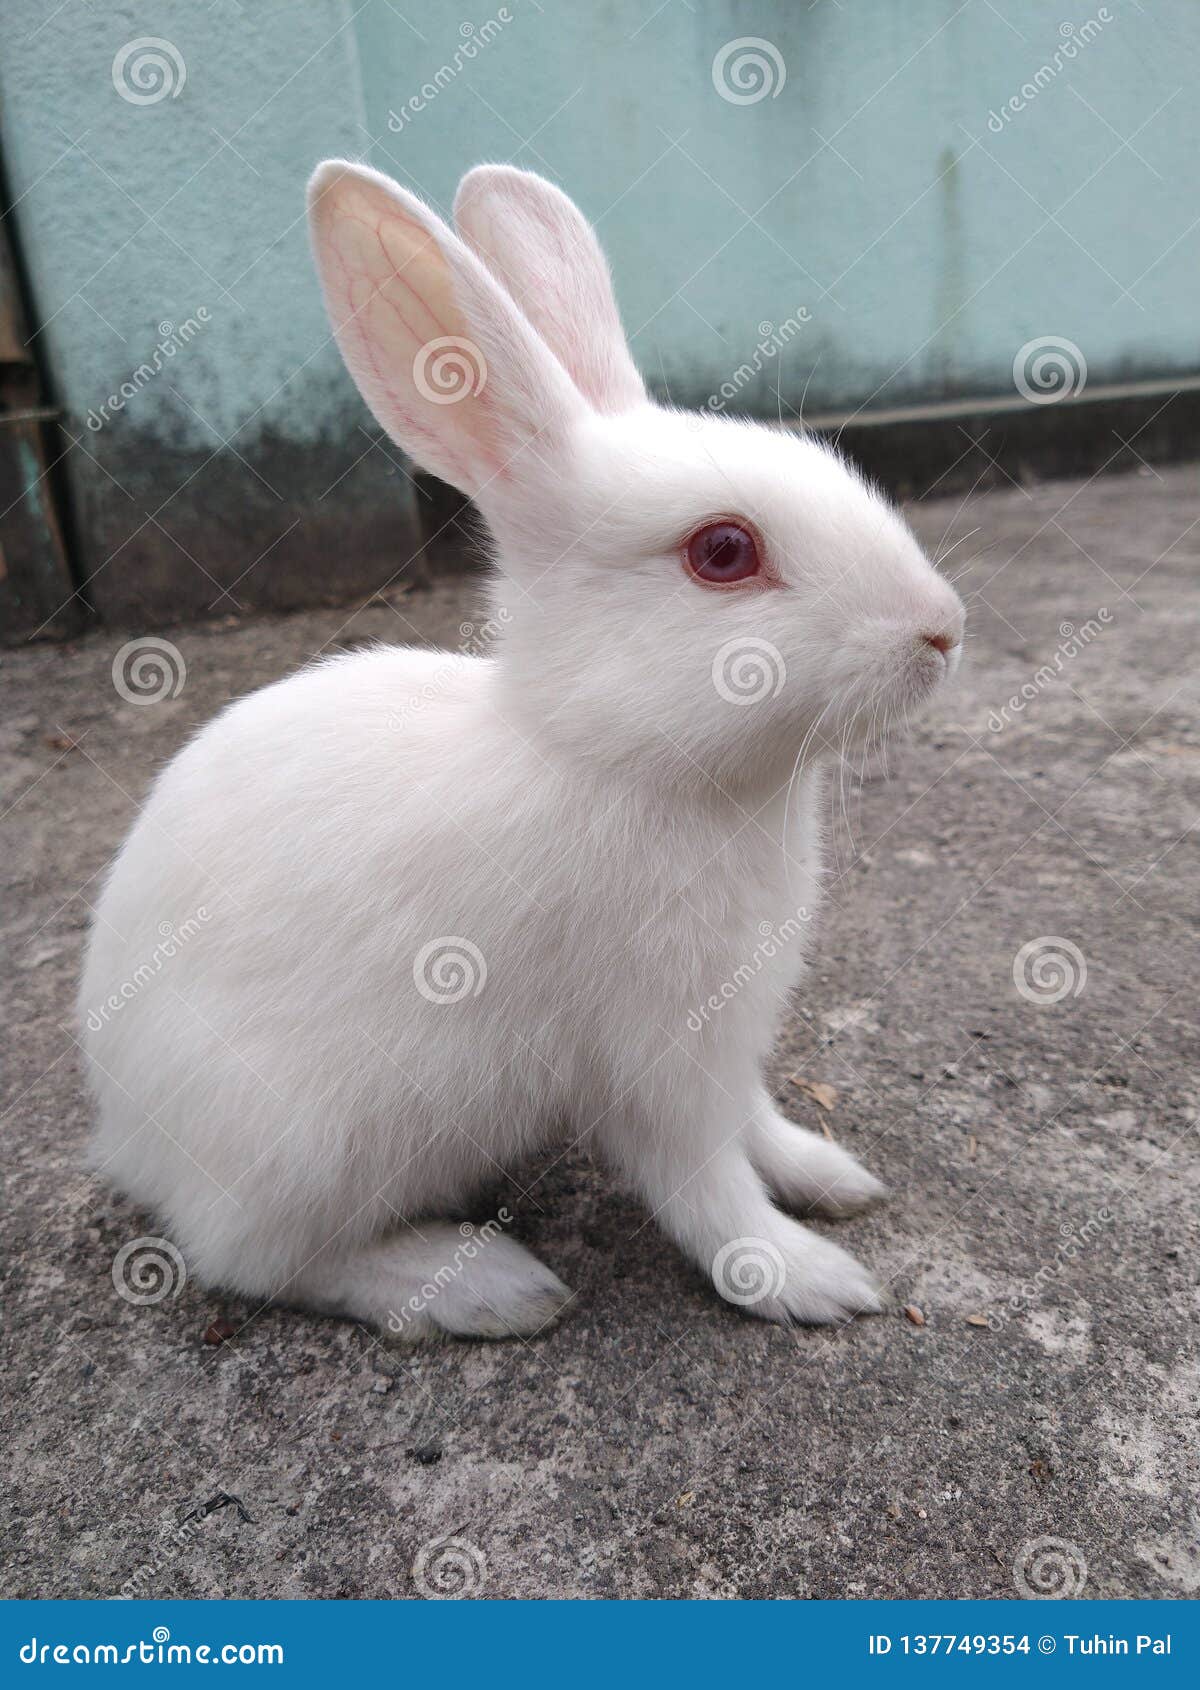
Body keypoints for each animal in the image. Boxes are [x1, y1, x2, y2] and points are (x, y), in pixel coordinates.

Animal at [79, 159, 965, 1342]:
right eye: (724, 551)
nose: (942, 628)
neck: (606, 753)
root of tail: (126, 1129)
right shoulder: (652, 1055)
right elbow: (704, 1182)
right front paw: (806, 1277)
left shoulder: (729, 1037)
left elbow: (755, 1124)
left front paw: (830, 1175)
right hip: (305, 1140)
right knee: (258, 1259)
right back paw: (485, 1287)